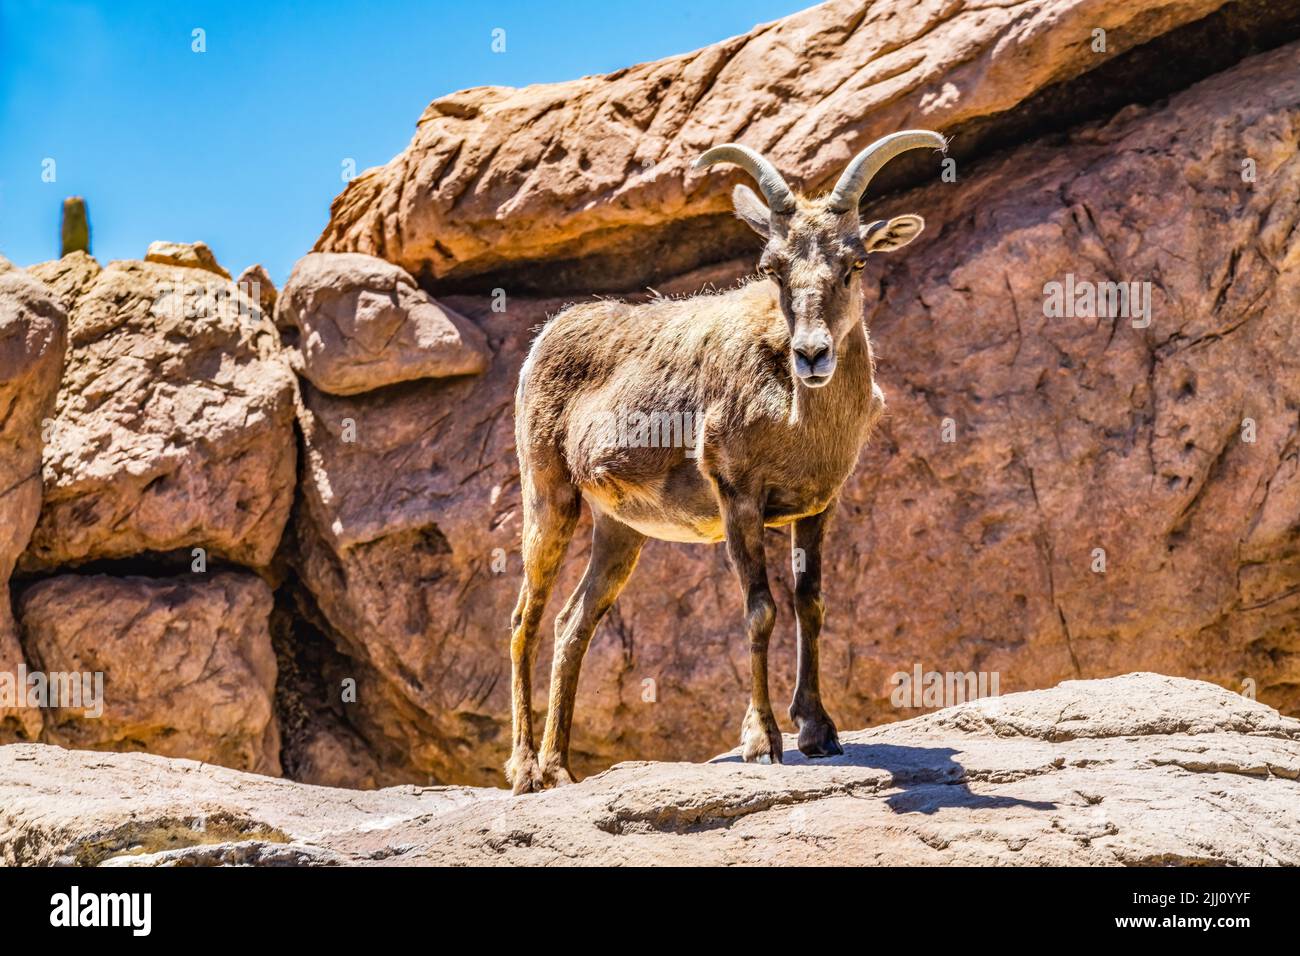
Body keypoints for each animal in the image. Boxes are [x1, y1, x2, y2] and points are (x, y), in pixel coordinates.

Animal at [507, 130, 947, 793]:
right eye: (773, 268)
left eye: (856, 263)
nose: (812, 355)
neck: (795, 418)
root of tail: (544, 338)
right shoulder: (738, 498)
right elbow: (760, 610)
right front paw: (762, 742)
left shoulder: (816, 508)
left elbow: (811, 604)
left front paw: (818, 733)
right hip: (549, 498)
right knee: (524, 621)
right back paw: (526, 771)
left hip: (620, 532)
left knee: (572, 623)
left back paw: (561, 770)